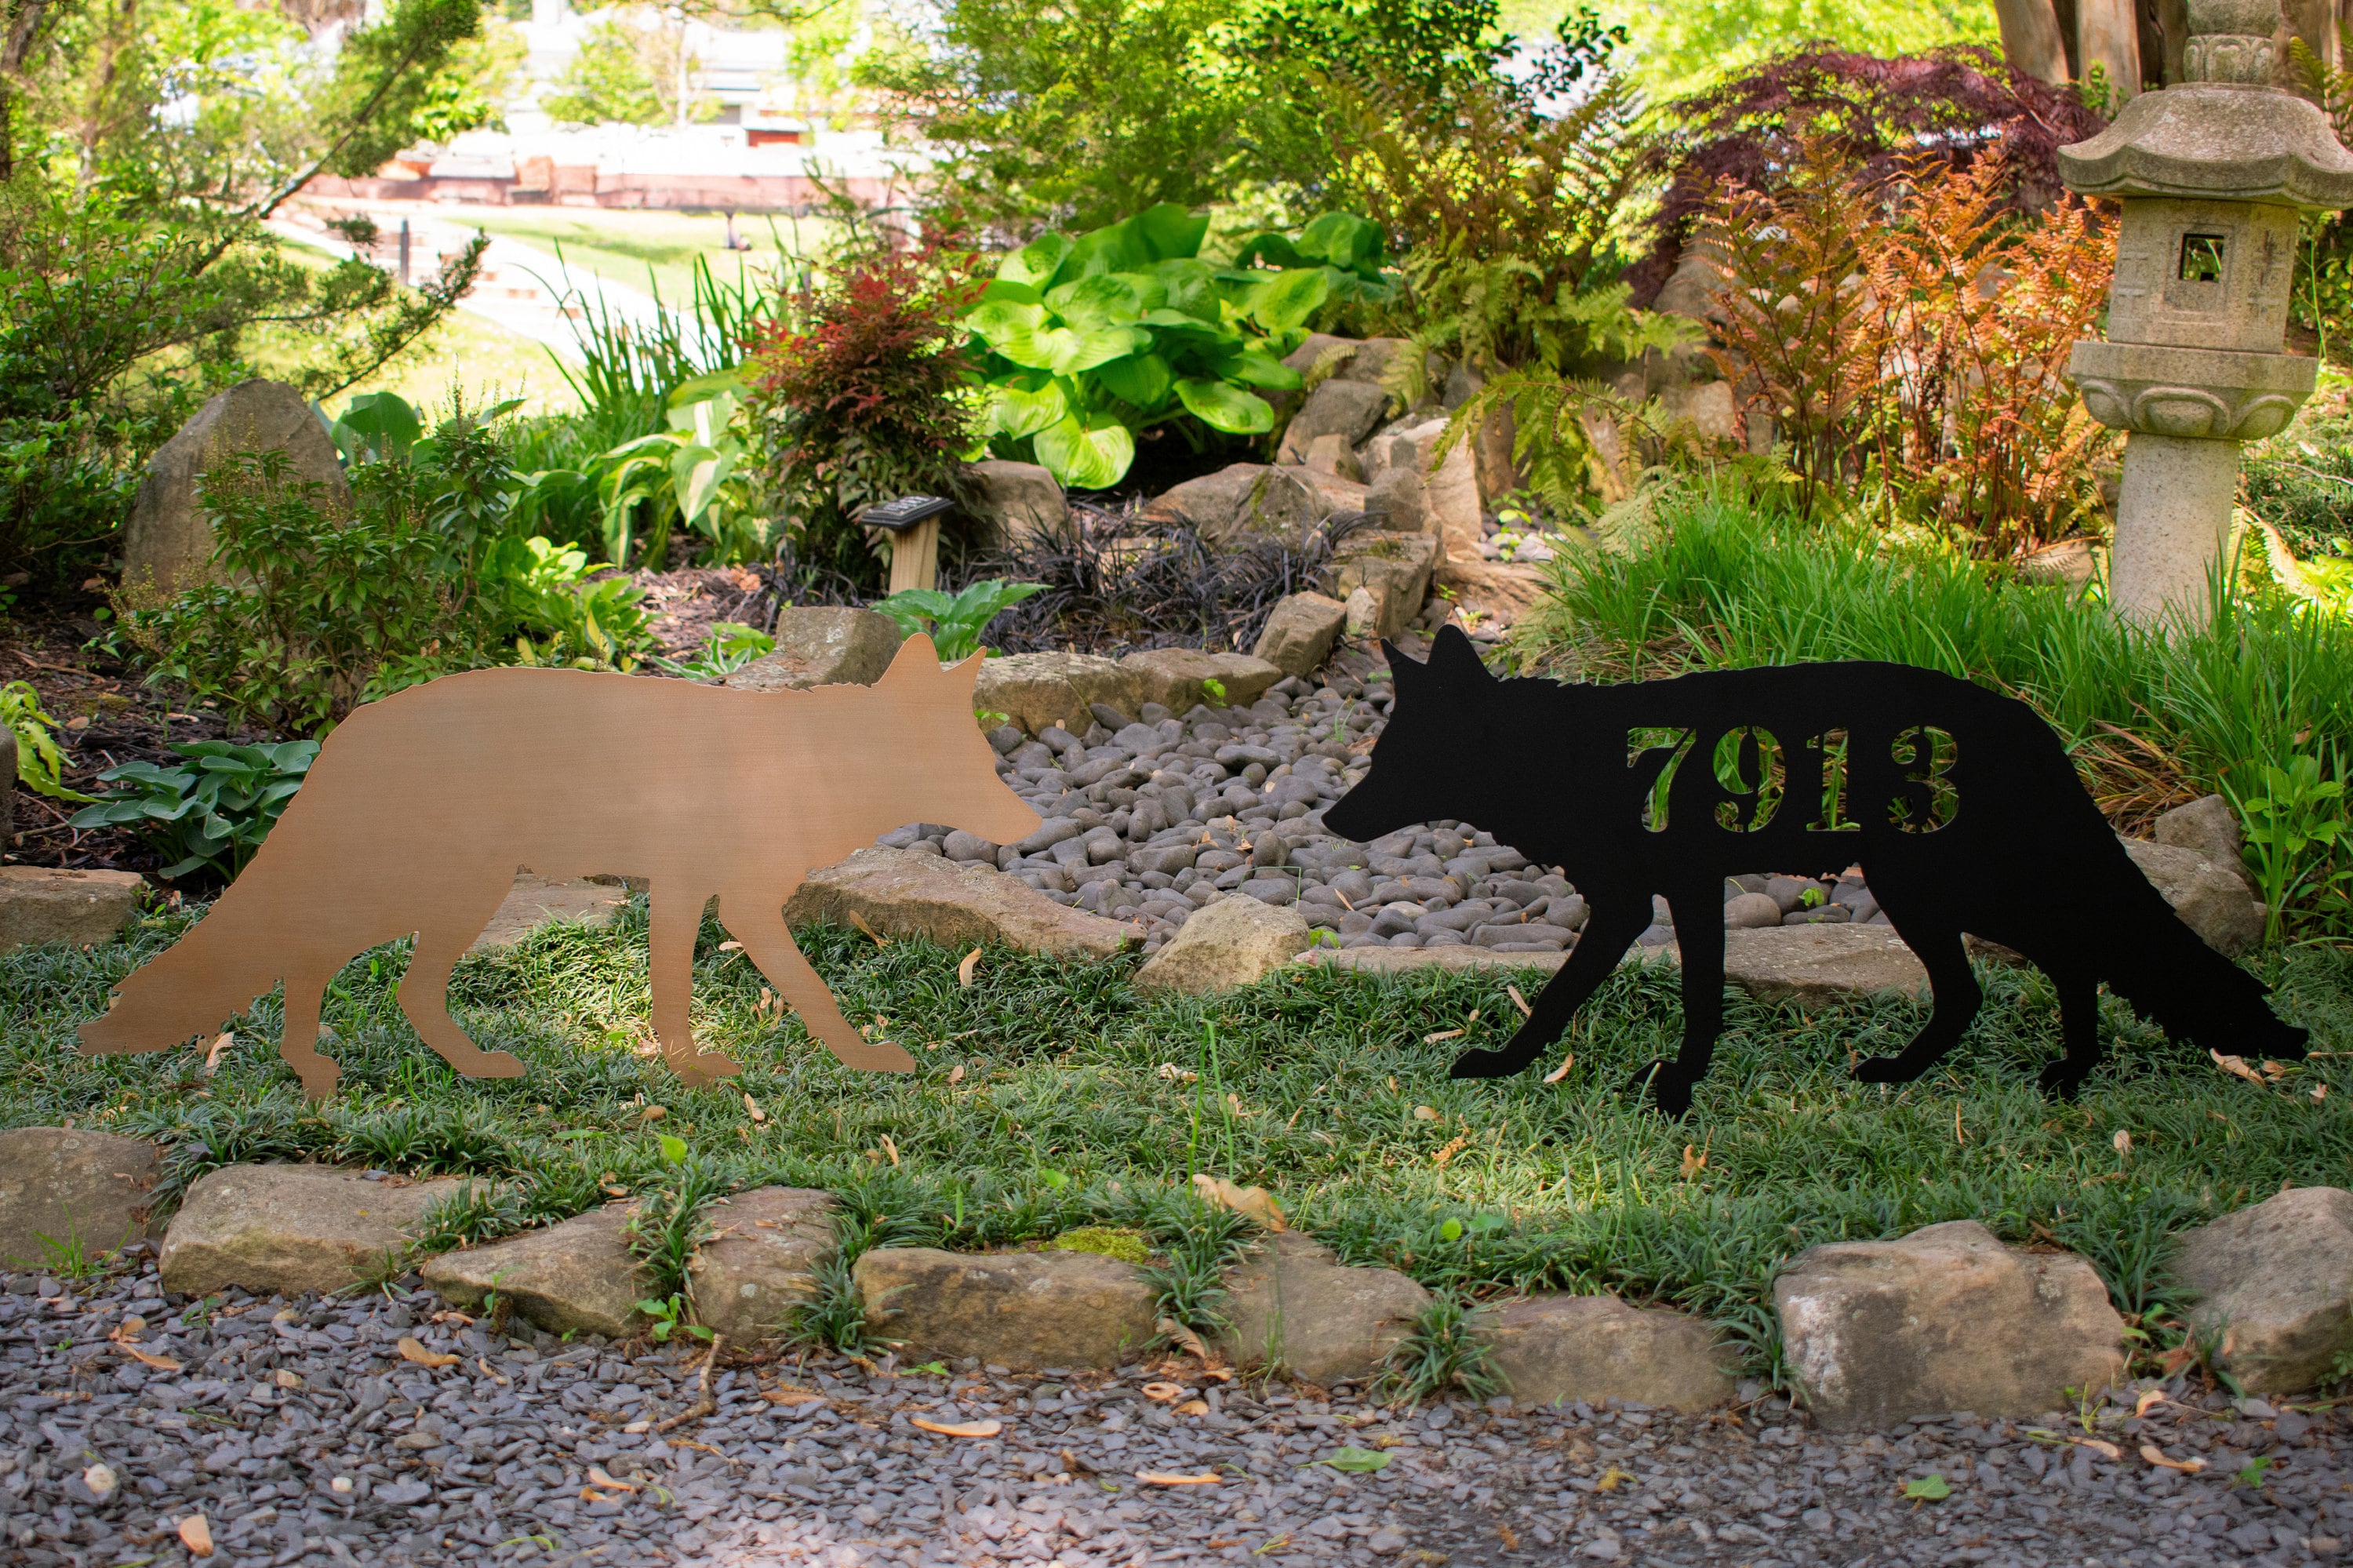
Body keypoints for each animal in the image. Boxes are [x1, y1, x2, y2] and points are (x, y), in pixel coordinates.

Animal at [79, 634, 1042, 1100]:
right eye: (972, 766)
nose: (1033, 825)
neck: (807, 768)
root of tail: (351, 724)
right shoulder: (725, 903)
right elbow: (798, 992)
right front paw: (782, 1068)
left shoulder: (696, 895)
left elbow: (690, 998)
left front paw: (697, 1072)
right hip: (447, 889)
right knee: (326, 958)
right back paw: (325, 1069)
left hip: (449, 894)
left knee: (363, 976)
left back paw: (406, 1071)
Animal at [1324, 627, 2305, 1116]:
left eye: (1393, 761)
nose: (1331, 819)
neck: (1576, 760)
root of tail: (2024, 717)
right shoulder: (1670, 896)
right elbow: (1671, 997)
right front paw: (1658, 1082)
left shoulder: (1646, 901)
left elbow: (1596, 995)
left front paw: (1643, 1085)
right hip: (1936, 893)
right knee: (2002, 982)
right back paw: (1963, 1075)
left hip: (1941, 888)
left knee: (2055, 960)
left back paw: (2053, 1072)